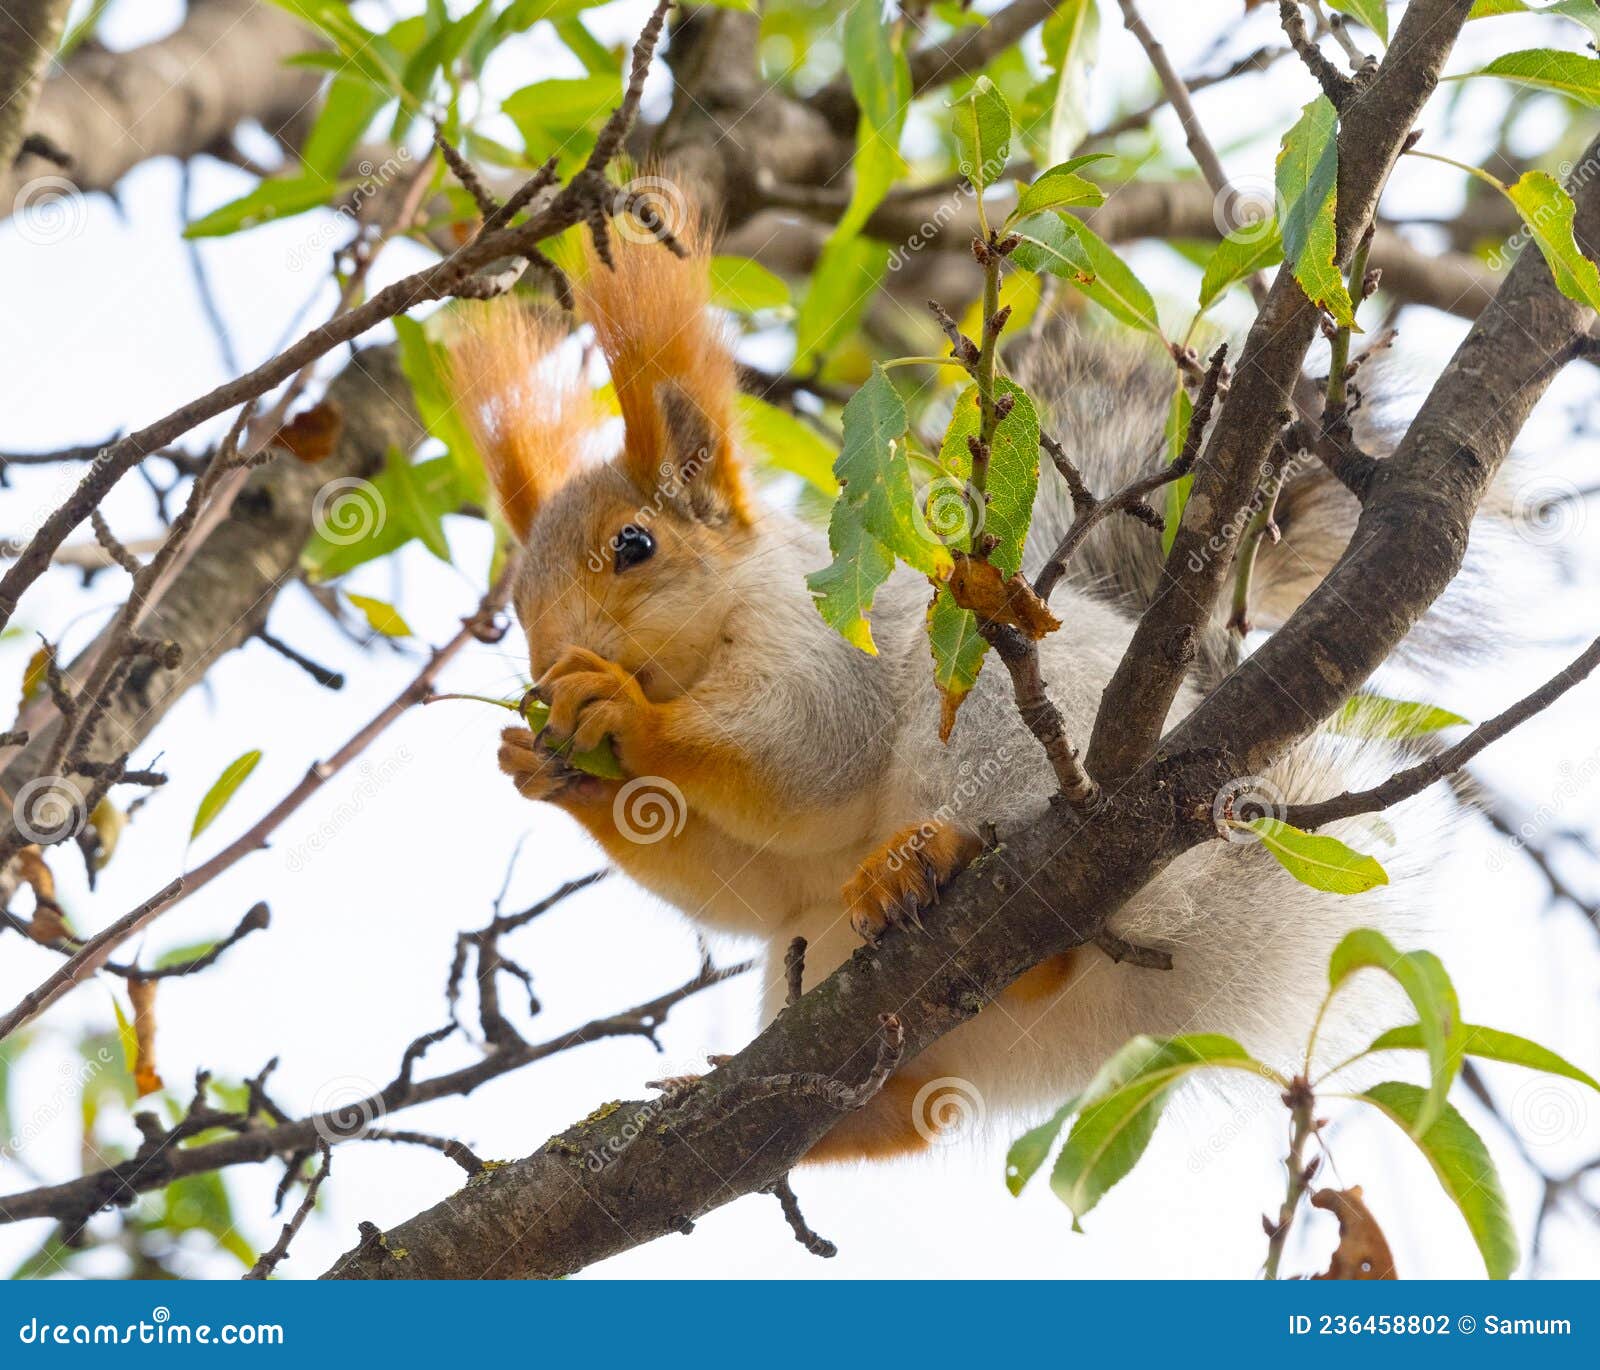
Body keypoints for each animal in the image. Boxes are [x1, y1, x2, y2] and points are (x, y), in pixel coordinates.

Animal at [451, 221, 1434, 1164]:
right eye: (517, 596)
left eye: (635, 546)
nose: (547, 667)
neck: (716, 631)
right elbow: (745, 885)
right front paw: (542, 766)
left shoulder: (821, 641)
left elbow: (811, 756)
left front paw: (623, 713)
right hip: (843, 974)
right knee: (912, 1110)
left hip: (998, 735)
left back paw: (927, 859)